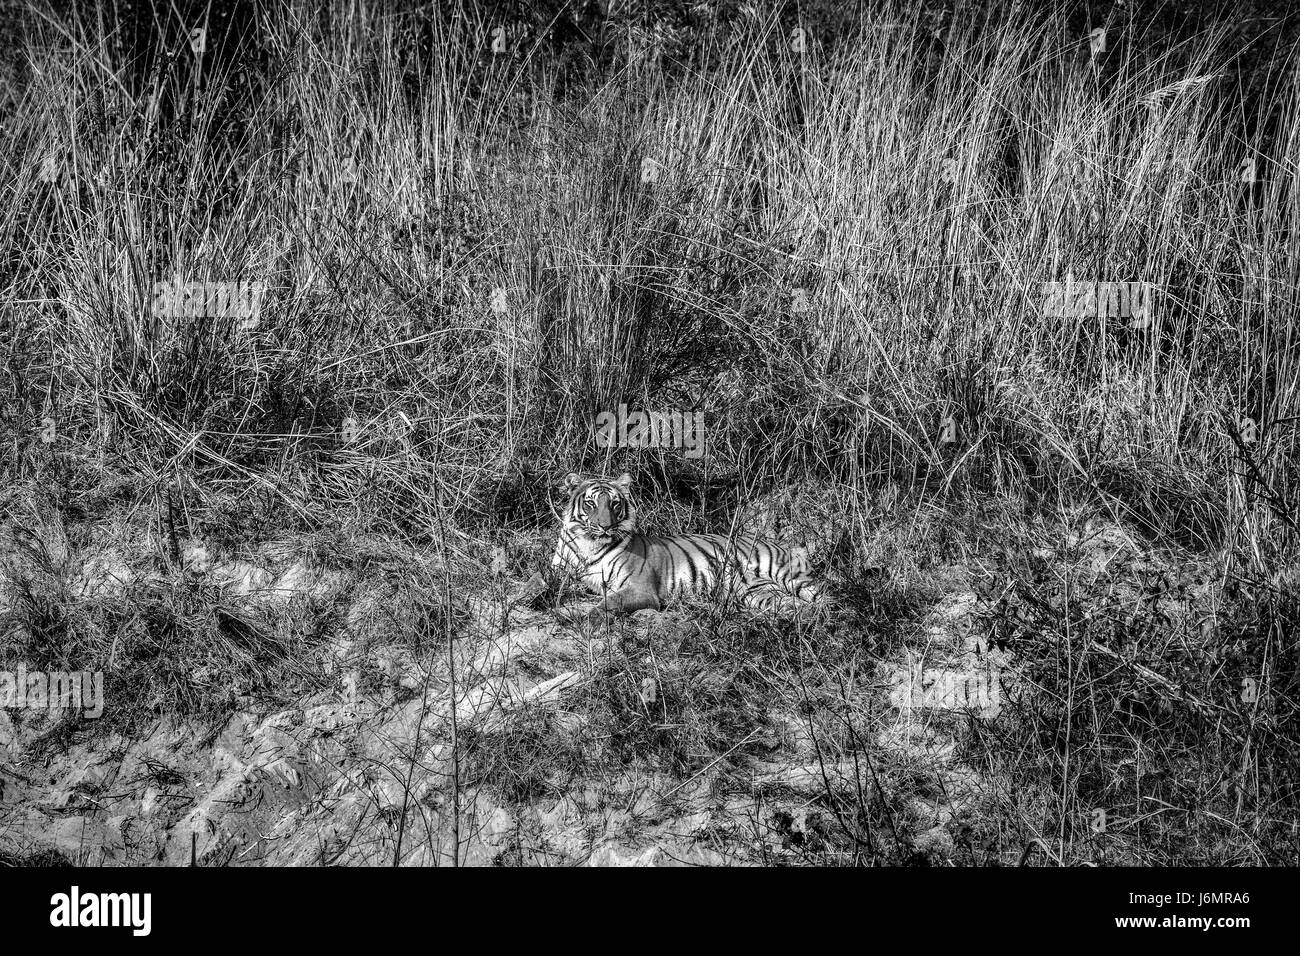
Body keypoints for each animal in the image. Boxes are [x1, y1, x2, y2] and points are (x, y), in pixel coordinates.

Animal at [551, 472, 823, 620]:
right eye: (591, 504)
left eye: (615, 504)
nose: (605, 526)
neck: (589, 544)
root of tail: (786, 544)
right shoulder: (560, 570)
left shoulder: (640, 589)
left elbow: (607, 603)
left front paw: (587, 619)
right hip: (757, 591)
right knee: (792, 605)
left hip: (792, 577)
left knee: (823, 599)